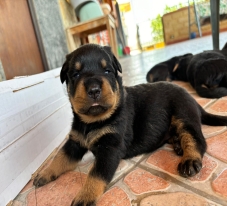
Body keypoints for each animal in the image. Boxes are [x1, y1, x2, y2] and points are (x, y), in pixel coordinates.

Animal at [33, 44, 227, 205]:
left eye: (107, 71)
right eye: (76, 74)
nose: (94, 90)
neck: (93, 122)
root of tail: (193, 100)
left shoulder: (110, 149)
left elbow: (95, 175)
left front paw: (84, 197)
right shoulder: (75, 141)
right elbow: (60, 157)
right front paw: (44, 174)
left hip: (183, 114)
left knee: (196, 139)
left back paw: (189, 159)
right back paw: (178, 145)